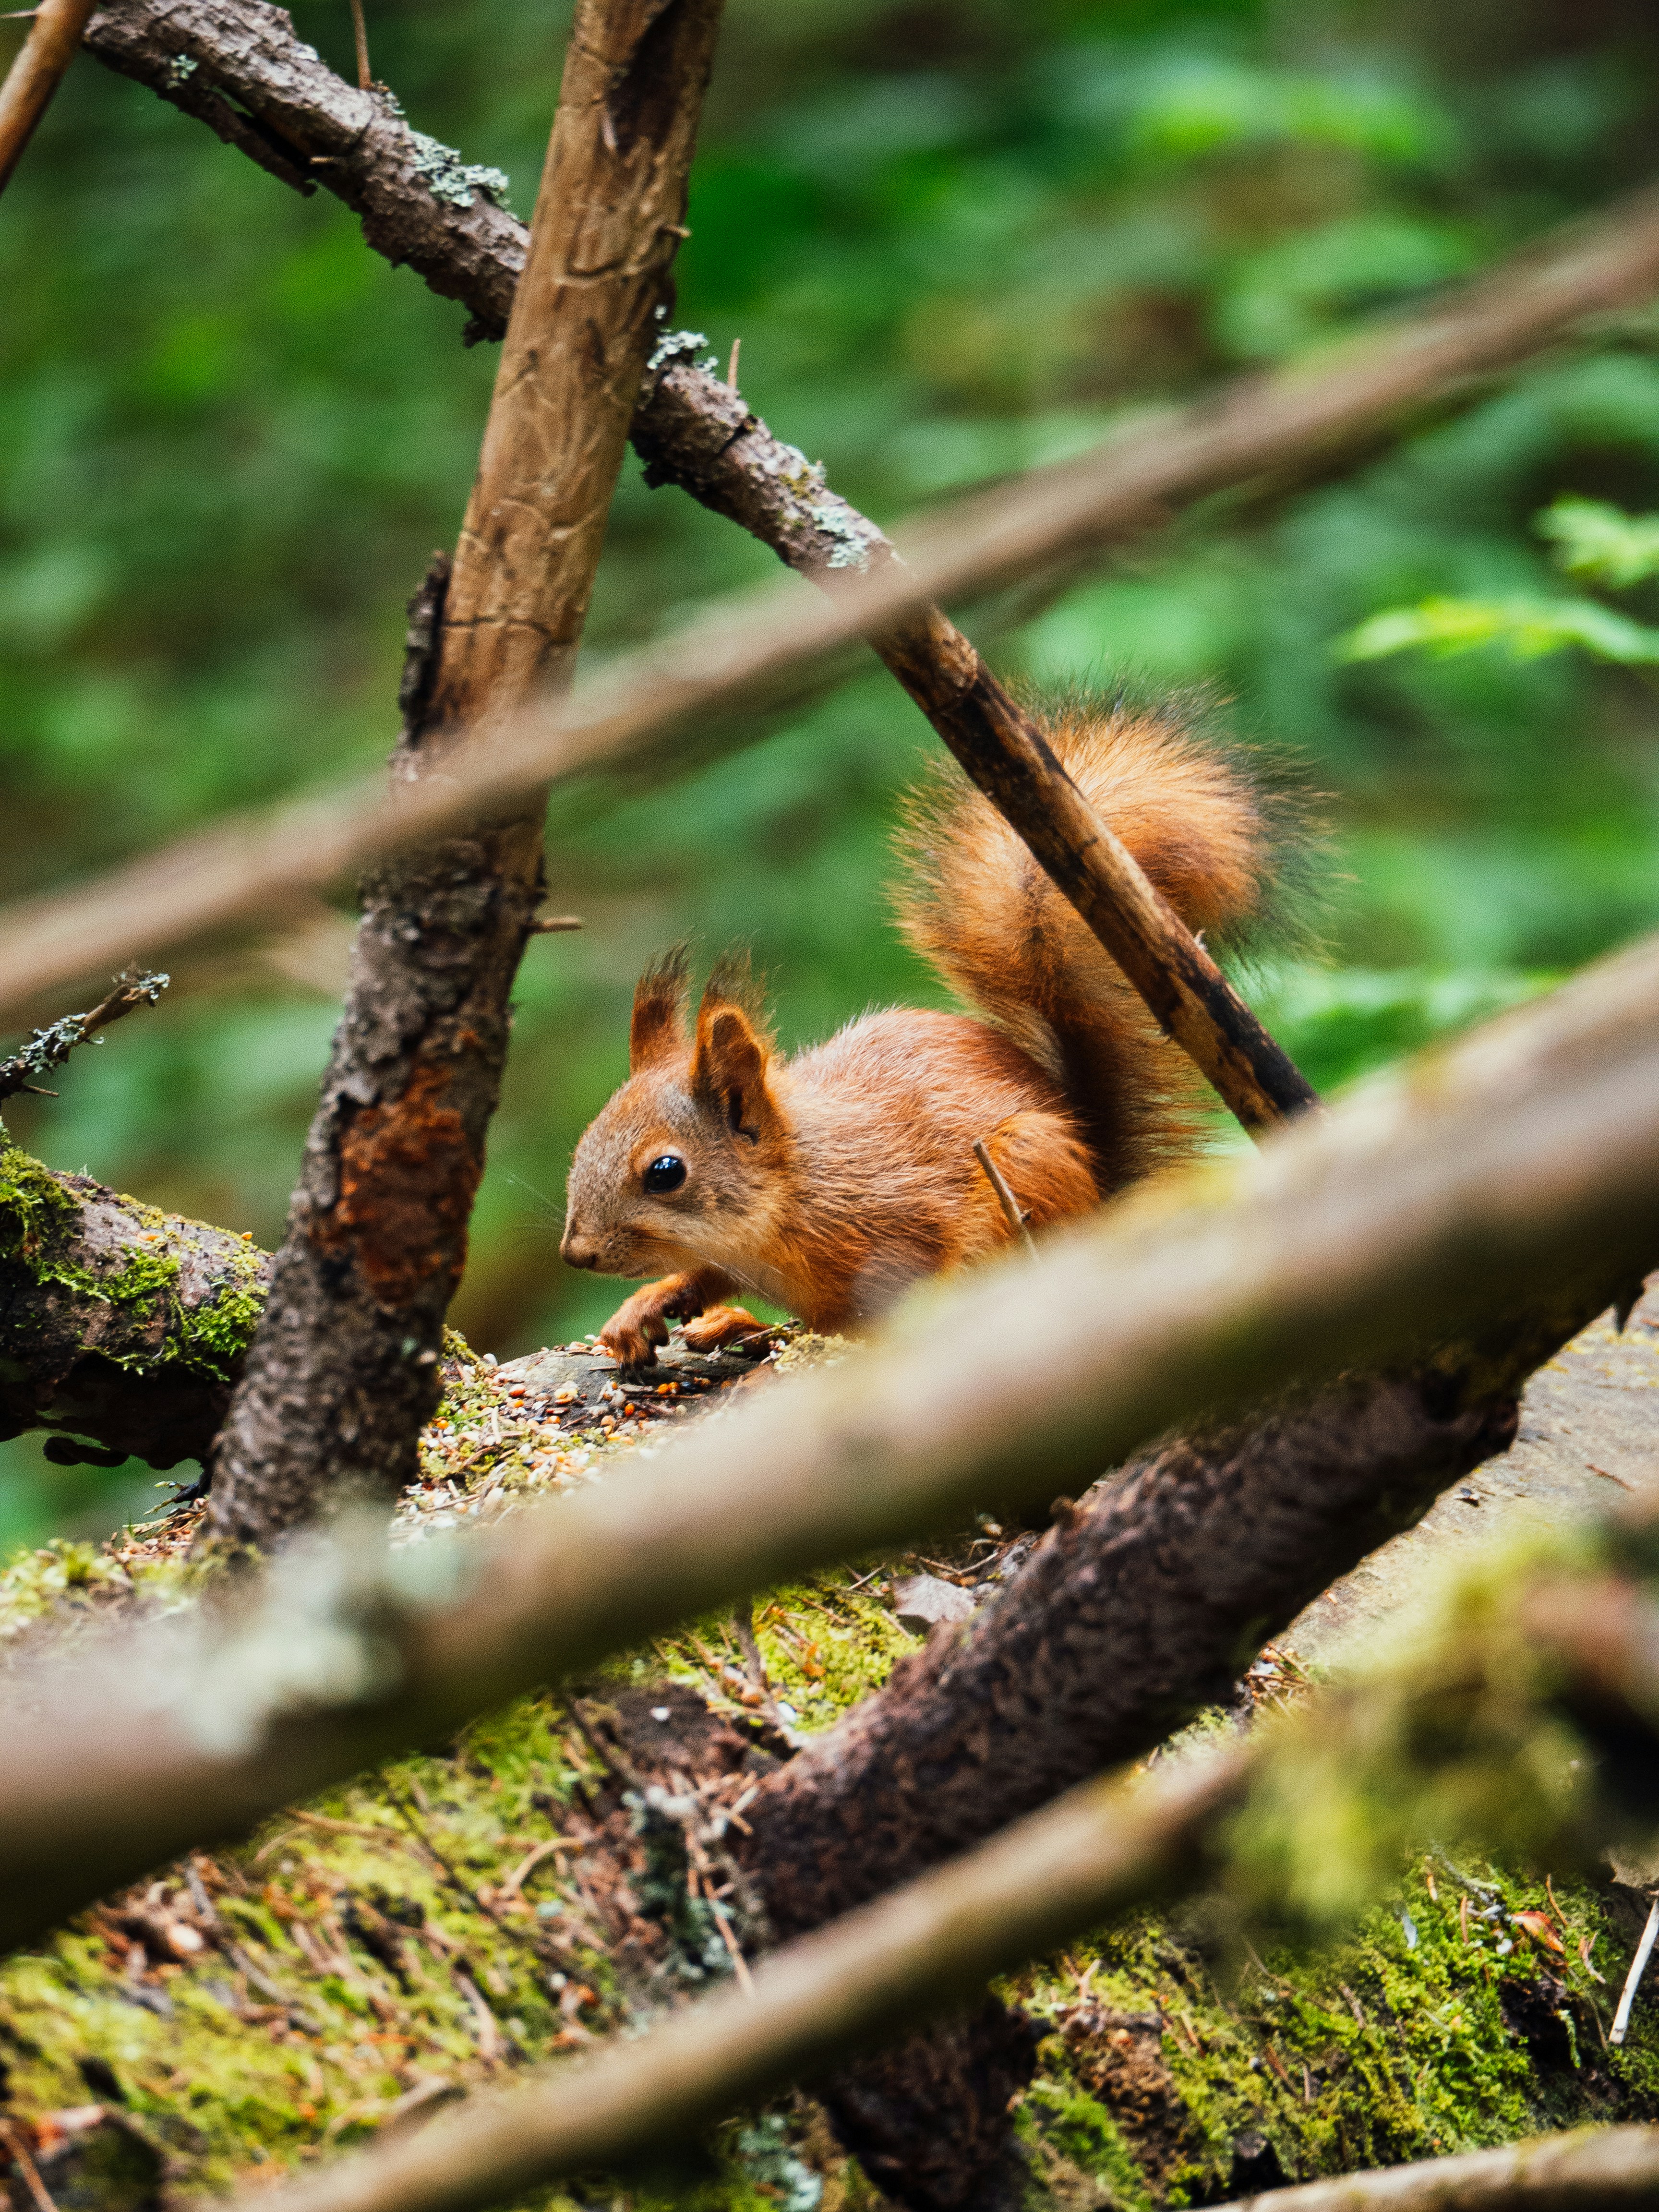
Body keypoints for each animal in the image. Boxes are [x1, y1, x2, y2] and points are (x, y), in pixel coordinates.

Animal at [560, 691, 1297, 1366]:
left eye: (666, 1172)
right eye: (585, 1139)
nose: (576, 1252)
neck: (794, 1191)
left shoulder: (897, 1224)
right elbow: (705, 1277)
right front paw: (643, 1310)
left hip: (1028, 1166)